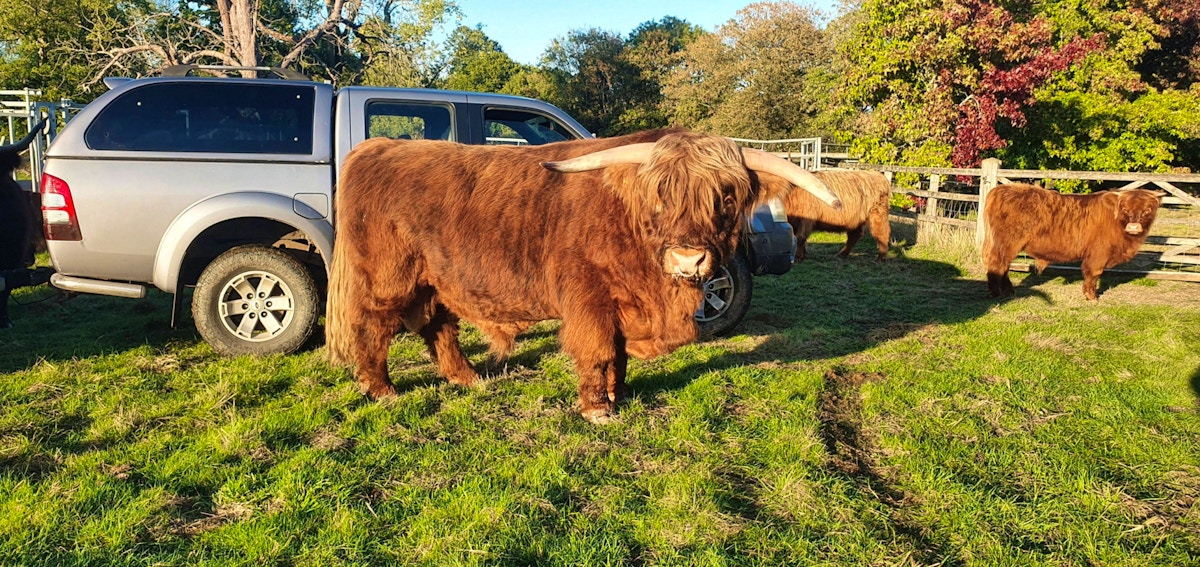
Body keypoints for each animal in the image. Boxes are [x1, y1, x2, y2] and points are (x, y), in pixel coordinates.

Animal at [325, 129, 842, 423]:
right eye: (660, 196)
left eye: (727, 199)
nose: (689, 260)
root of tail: (379, 146)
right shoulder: (590, 299)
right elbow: (596, 352)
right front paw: (598, 408)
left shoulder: (624, 307)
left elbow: (619, 355)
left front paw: (620, 393)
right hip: (387, 278)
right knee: (372, 327)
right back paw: (382, 390)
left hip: (434, 279)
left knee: (438, 326)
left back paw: (468, 379)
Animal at [981, 182, 1165, 302]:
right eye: (1125, 209)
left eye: (1147, 210)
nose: (1133, 227)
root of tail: (1001, 189)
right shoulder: (1098, 253)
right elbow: (1094, 273)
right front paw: (1091, 297)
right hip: (1006, 243)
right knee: (998, 265)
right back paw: (997, 293)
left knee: (1004, 266)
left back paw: (1009, 291)